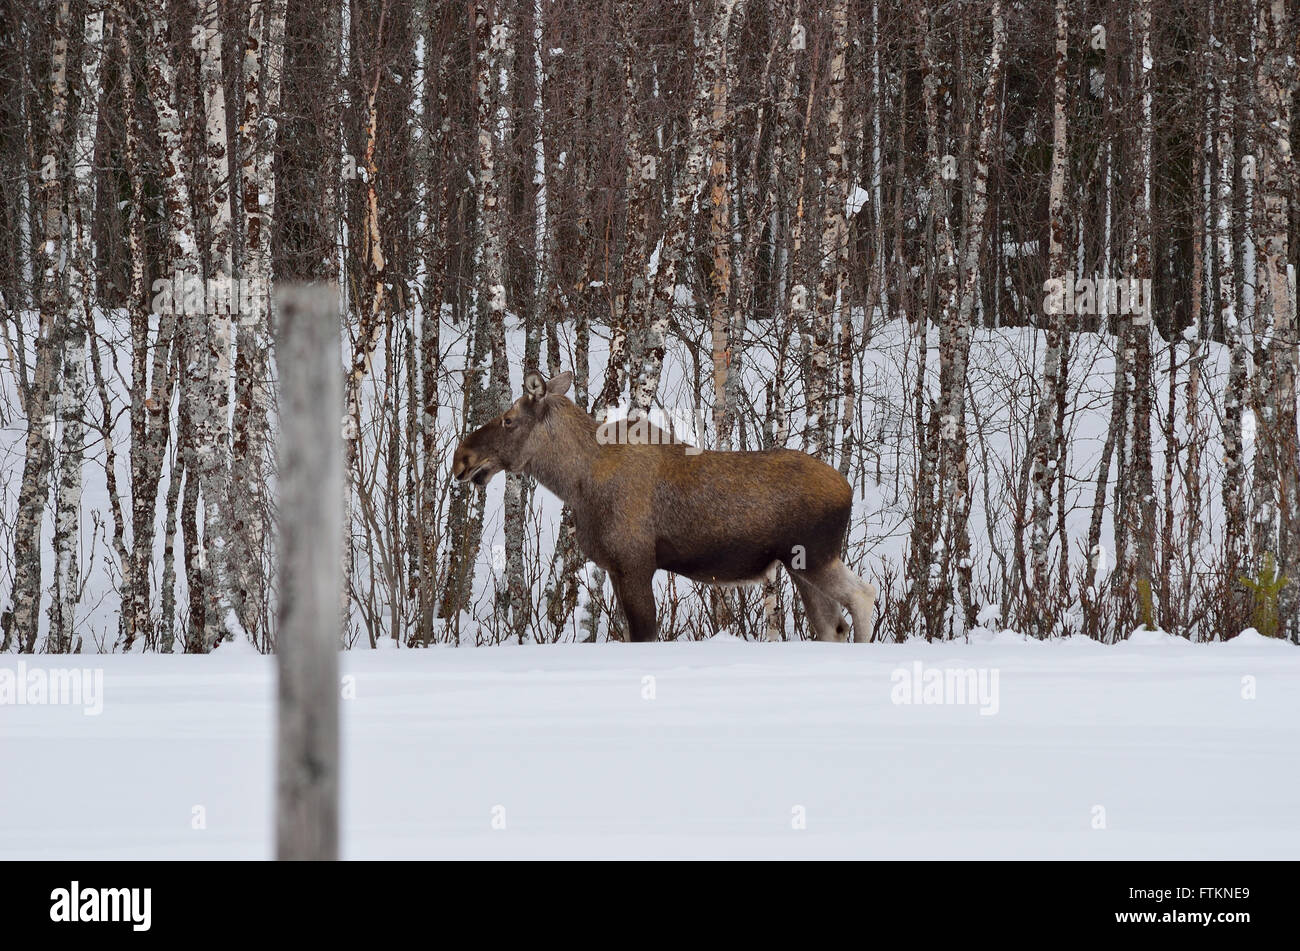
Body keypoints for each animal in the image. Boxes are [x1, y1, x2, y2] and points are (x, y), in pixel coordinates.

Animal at [451, 370, 877, 643]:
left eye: (508, 420)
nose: (462, 459)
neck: (576, 483)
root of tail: (847, 489)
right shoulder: (617, 568)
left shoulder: (635, 561)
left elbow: (644, 634)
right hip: (800, 565)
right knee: (832, 627)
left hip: (814, 556)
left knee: (863, 595)